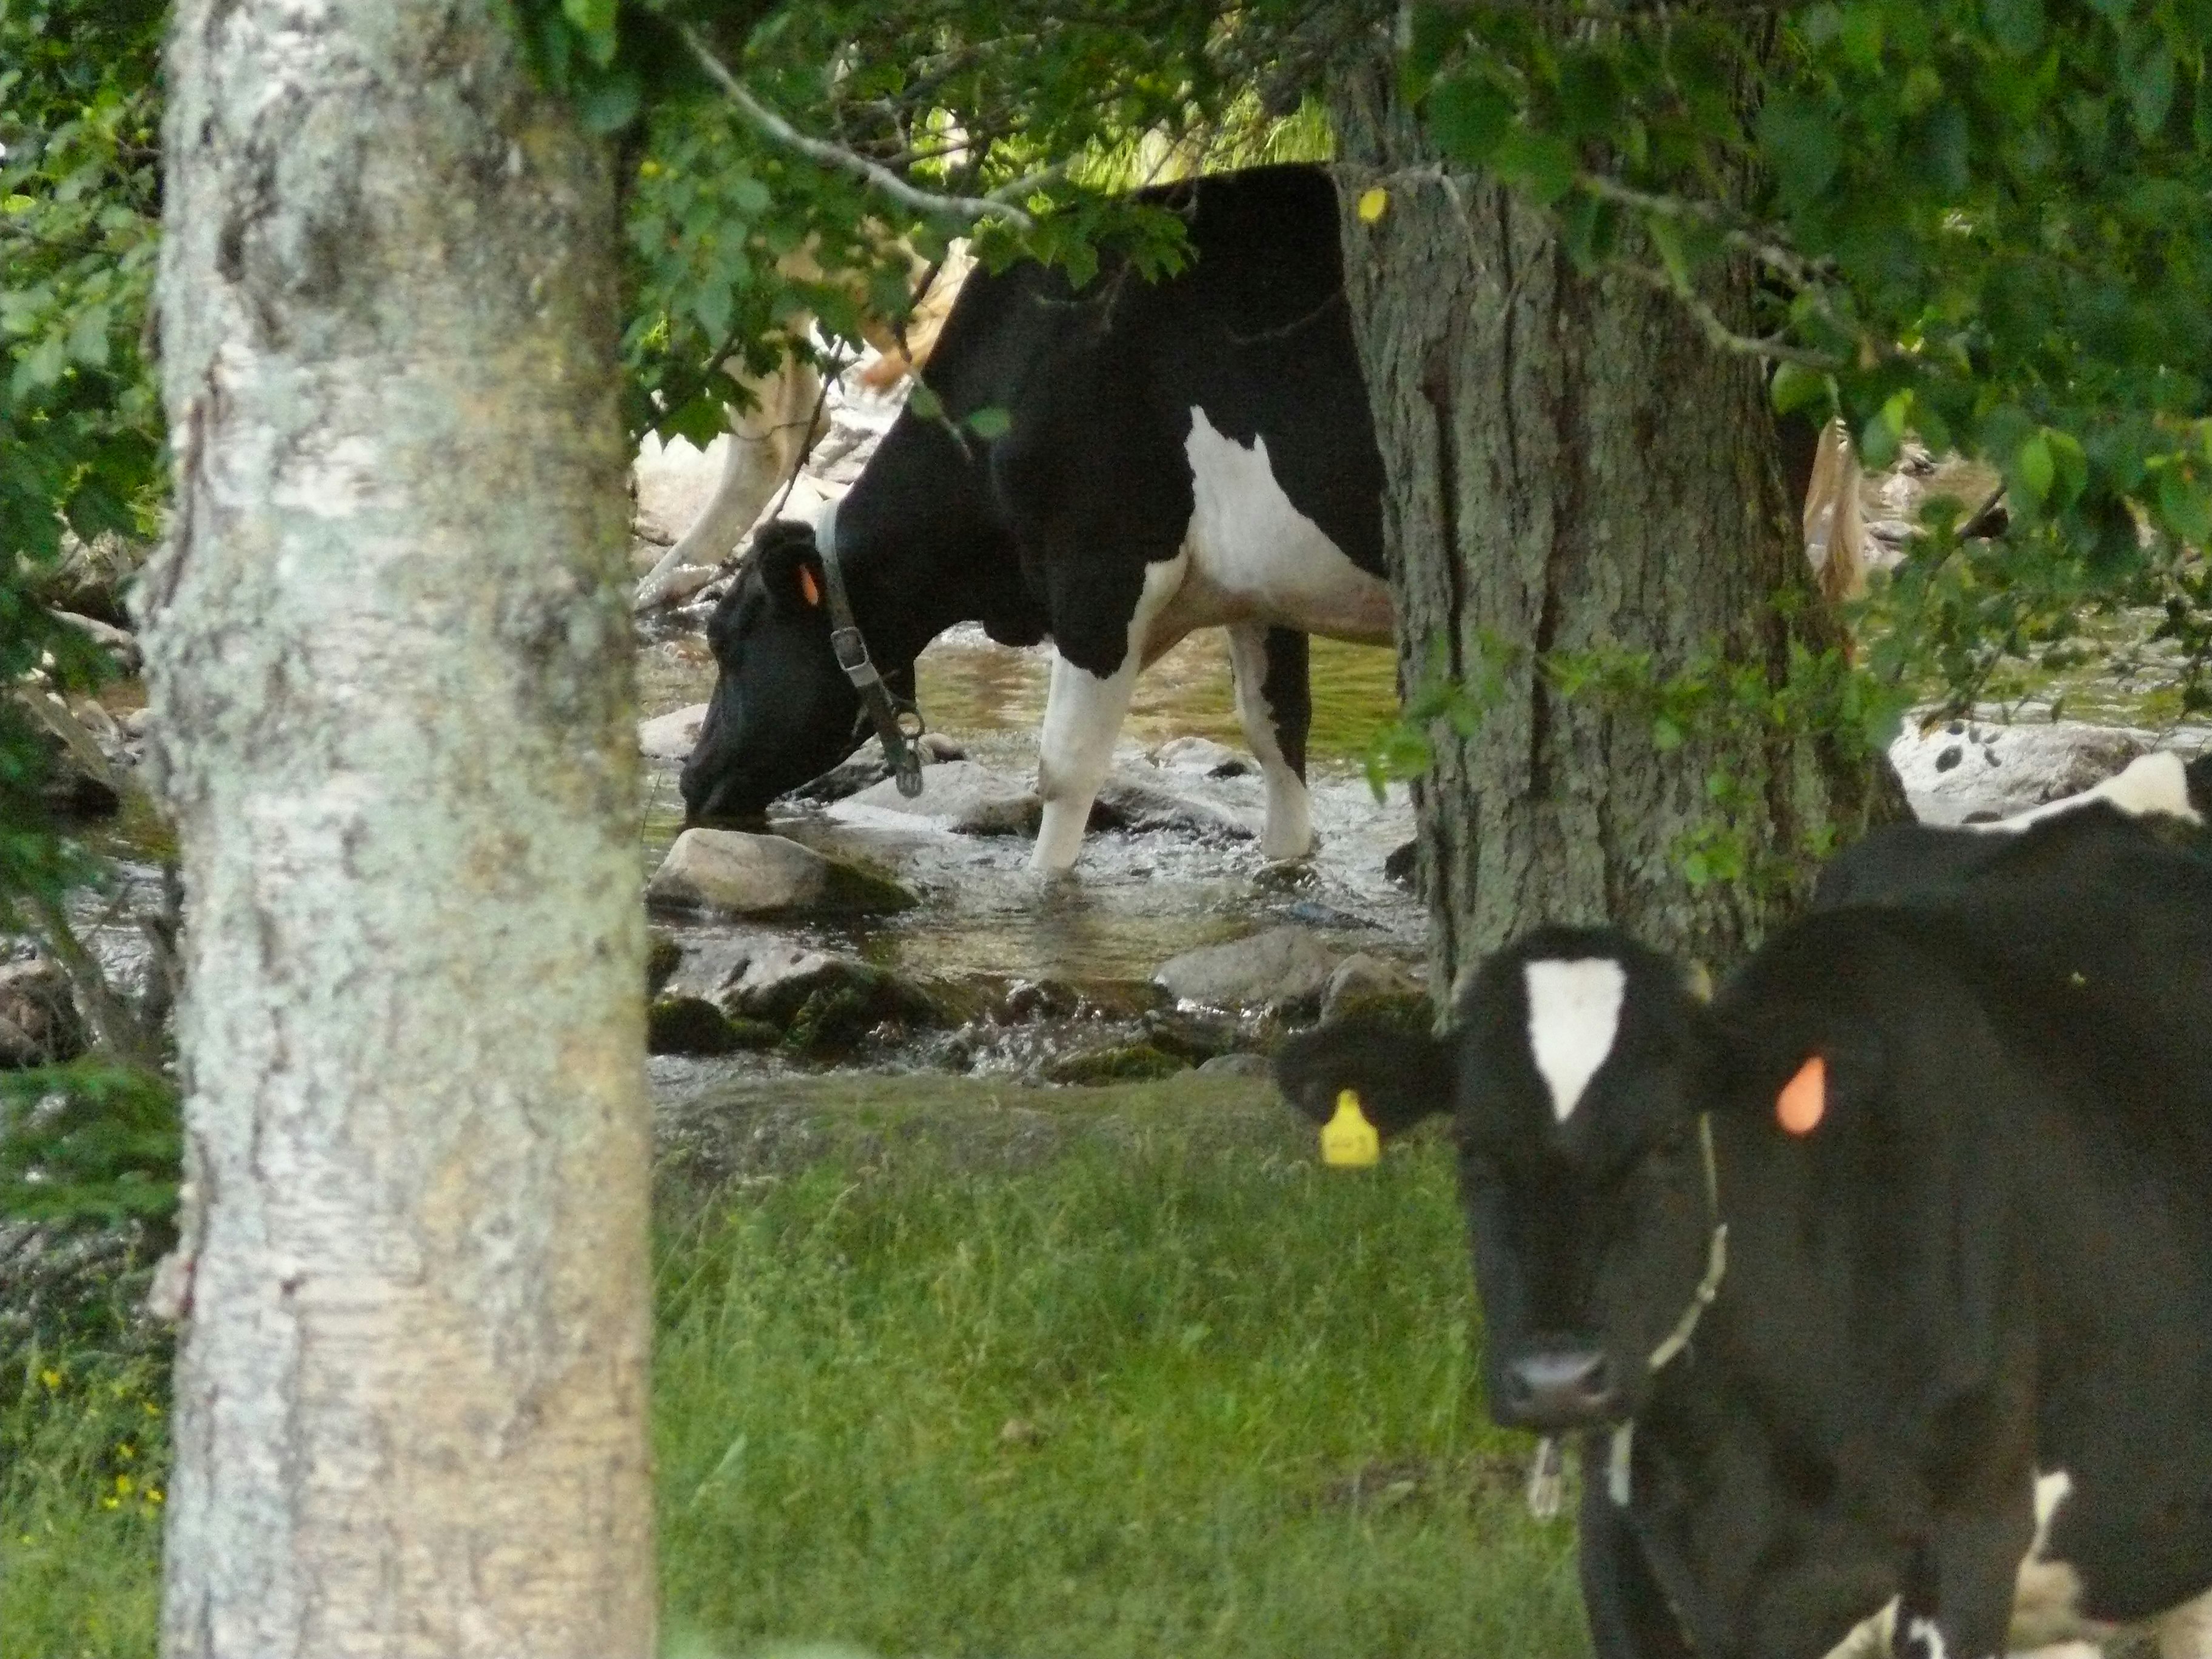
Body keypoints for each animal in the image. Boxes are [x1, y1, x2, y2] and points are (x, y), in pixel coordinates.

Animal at [678, 163, 1393, 872]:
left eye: (723, 640)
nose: (690, 776)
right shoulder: (1260, 586)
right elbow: (1277, 732)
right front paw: (1286, 862)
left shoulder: (1101, 569)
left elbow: (1065, 768)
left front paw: (1045, 882)